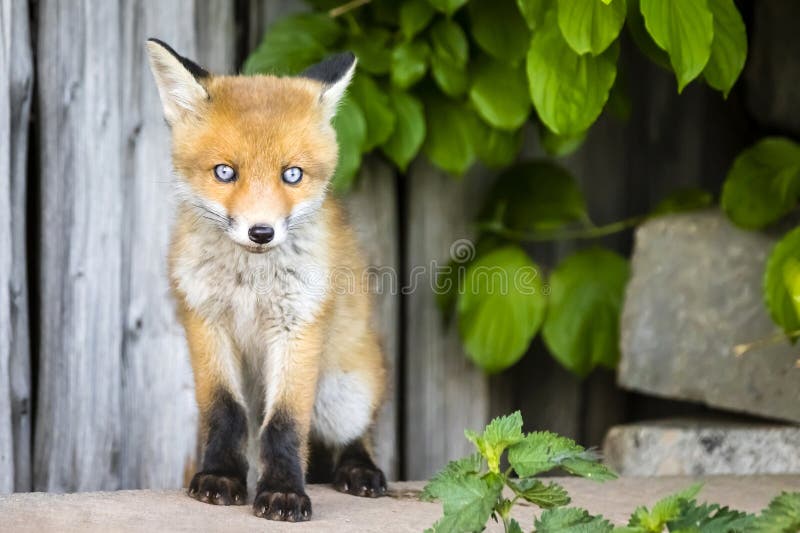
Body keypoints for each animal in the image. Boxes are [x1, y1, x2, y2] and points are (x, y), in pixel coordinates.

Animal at [145, 39, 387, 522]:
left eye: (291, 174)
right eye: (224, 172)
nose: (261, 232)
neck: (249, 285)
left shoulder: (298, 326)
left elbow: (286, 423)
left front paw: (282, 492)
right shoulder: (206, 322)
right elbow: (225, 411)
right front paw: (220, 477)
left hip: (343, 393)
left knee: (355, 435)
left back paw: (359, 470)